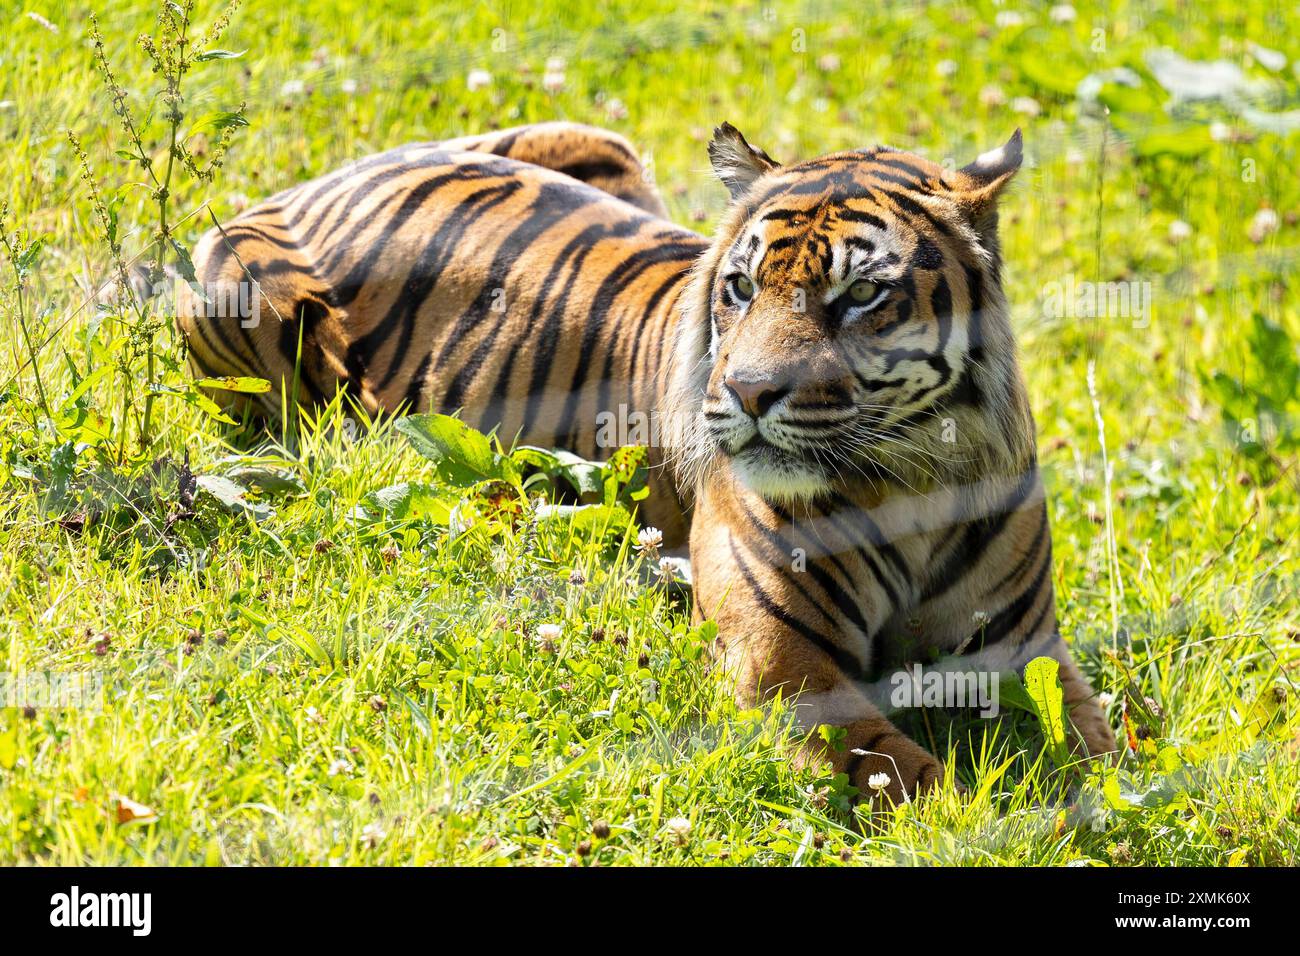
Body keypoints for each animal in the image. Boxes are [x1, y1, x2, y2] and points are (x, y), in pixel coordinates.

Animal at [177, 120, 1115, 802]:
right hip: (250, 300)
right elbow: (917, 780)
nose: (748, 393)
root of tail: (319, 180)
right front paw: (1002, 818)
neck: (914, 478)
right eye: (740, 288)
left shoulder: (1026, 647)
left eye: (859, 296)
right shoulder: (786, 666)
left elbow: (1103, 743)